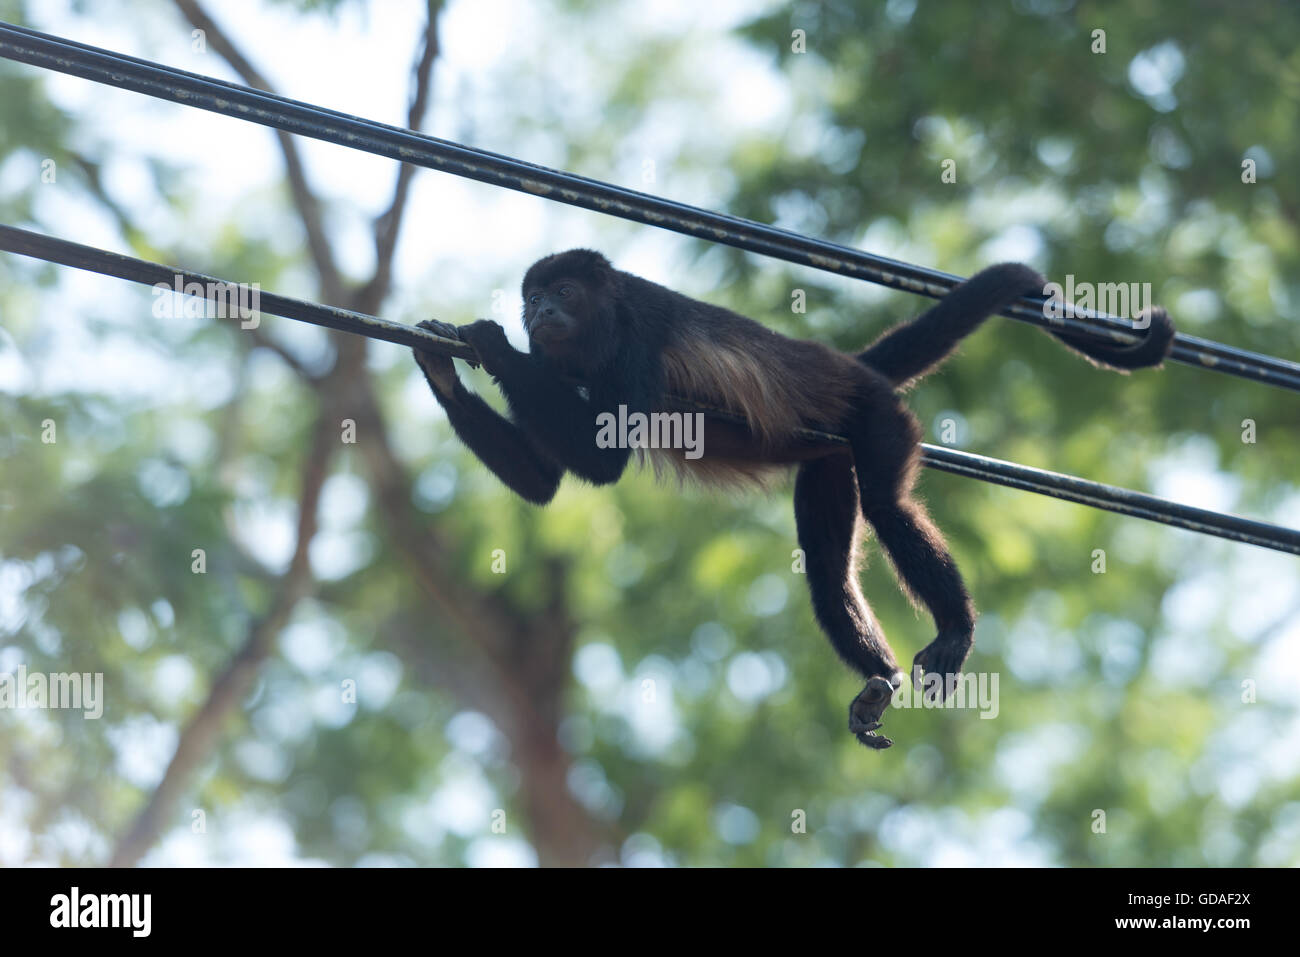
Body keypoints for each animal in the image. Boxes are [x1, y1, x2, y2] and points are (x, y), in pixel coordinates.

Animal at [412, 250, 1173, 749]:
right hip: (829, 459)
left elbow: (602, 464)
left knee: (890, 508)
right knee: (828, 574)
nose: (536, 309)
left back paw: (955, 629)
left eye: (562, 290)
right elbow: (547, 483)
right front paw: (439, 365)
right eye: (532, 295)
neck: (598, 327)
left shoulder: (637, 336)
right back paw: (878, 681)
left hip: (878, 416)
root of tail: (852, 368)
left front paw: (490, 342)